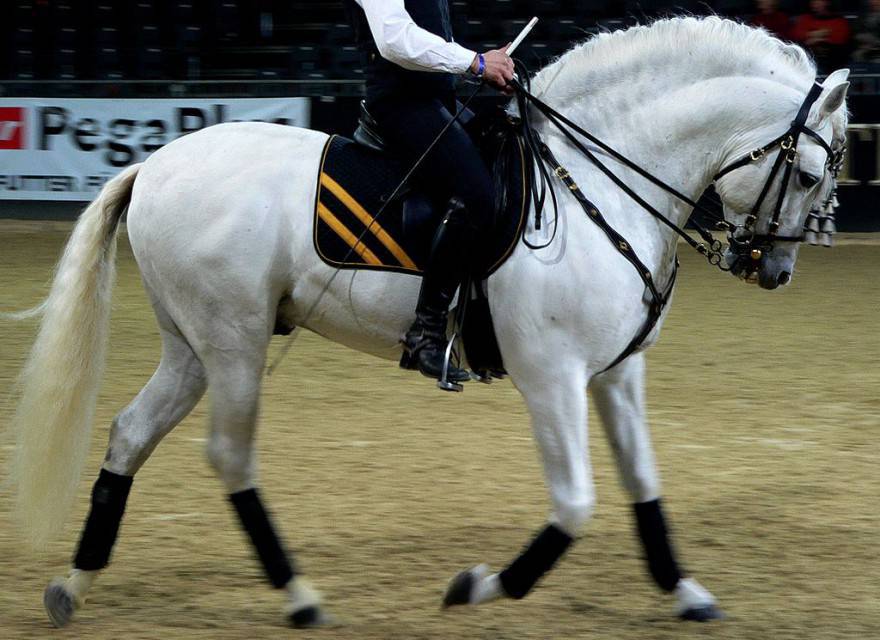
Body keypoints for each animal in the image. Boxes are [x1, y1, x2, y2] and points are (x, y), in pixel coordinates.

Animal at [4, 16, 849, 629]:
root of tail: (155, 163)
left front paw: (684, 591)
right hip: (232, 341)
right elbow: (574, 505)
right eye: (809, 174)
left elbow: (645, 484)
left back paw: (73, 585)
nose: (773, 269)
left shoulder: (615, 372)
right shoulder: (552, 376)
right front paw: (478, 586)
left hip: (192, 348)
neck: (595, 186)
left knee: (129, 434)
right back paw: (298, 596)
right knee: (229, 457)